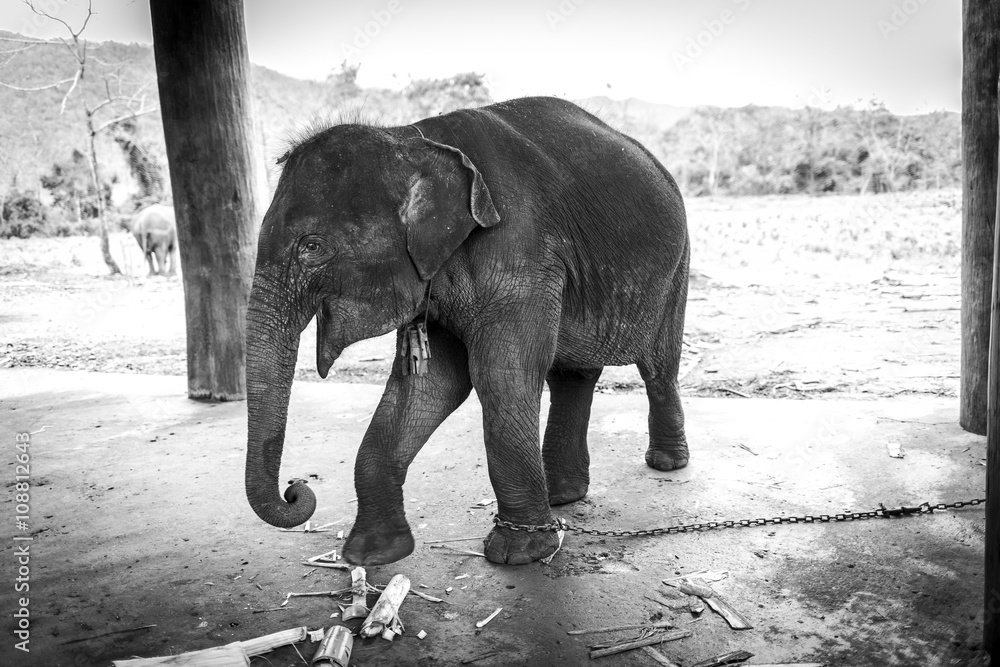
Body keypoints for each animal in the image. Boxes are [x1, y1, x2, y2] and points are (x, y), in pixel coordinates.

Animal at [245, 96, 690, 566]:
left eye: (312, 247)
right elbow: (427, 385)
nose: (296, 489)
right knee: (573, 376)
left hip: (677, 268)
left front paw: (519, 553)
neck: (410, 137)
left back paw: (664, 464)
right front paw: (371, 556)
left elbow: (499, 376)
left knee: (658, 367)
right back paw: (561, 495)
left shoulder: (520, 252)